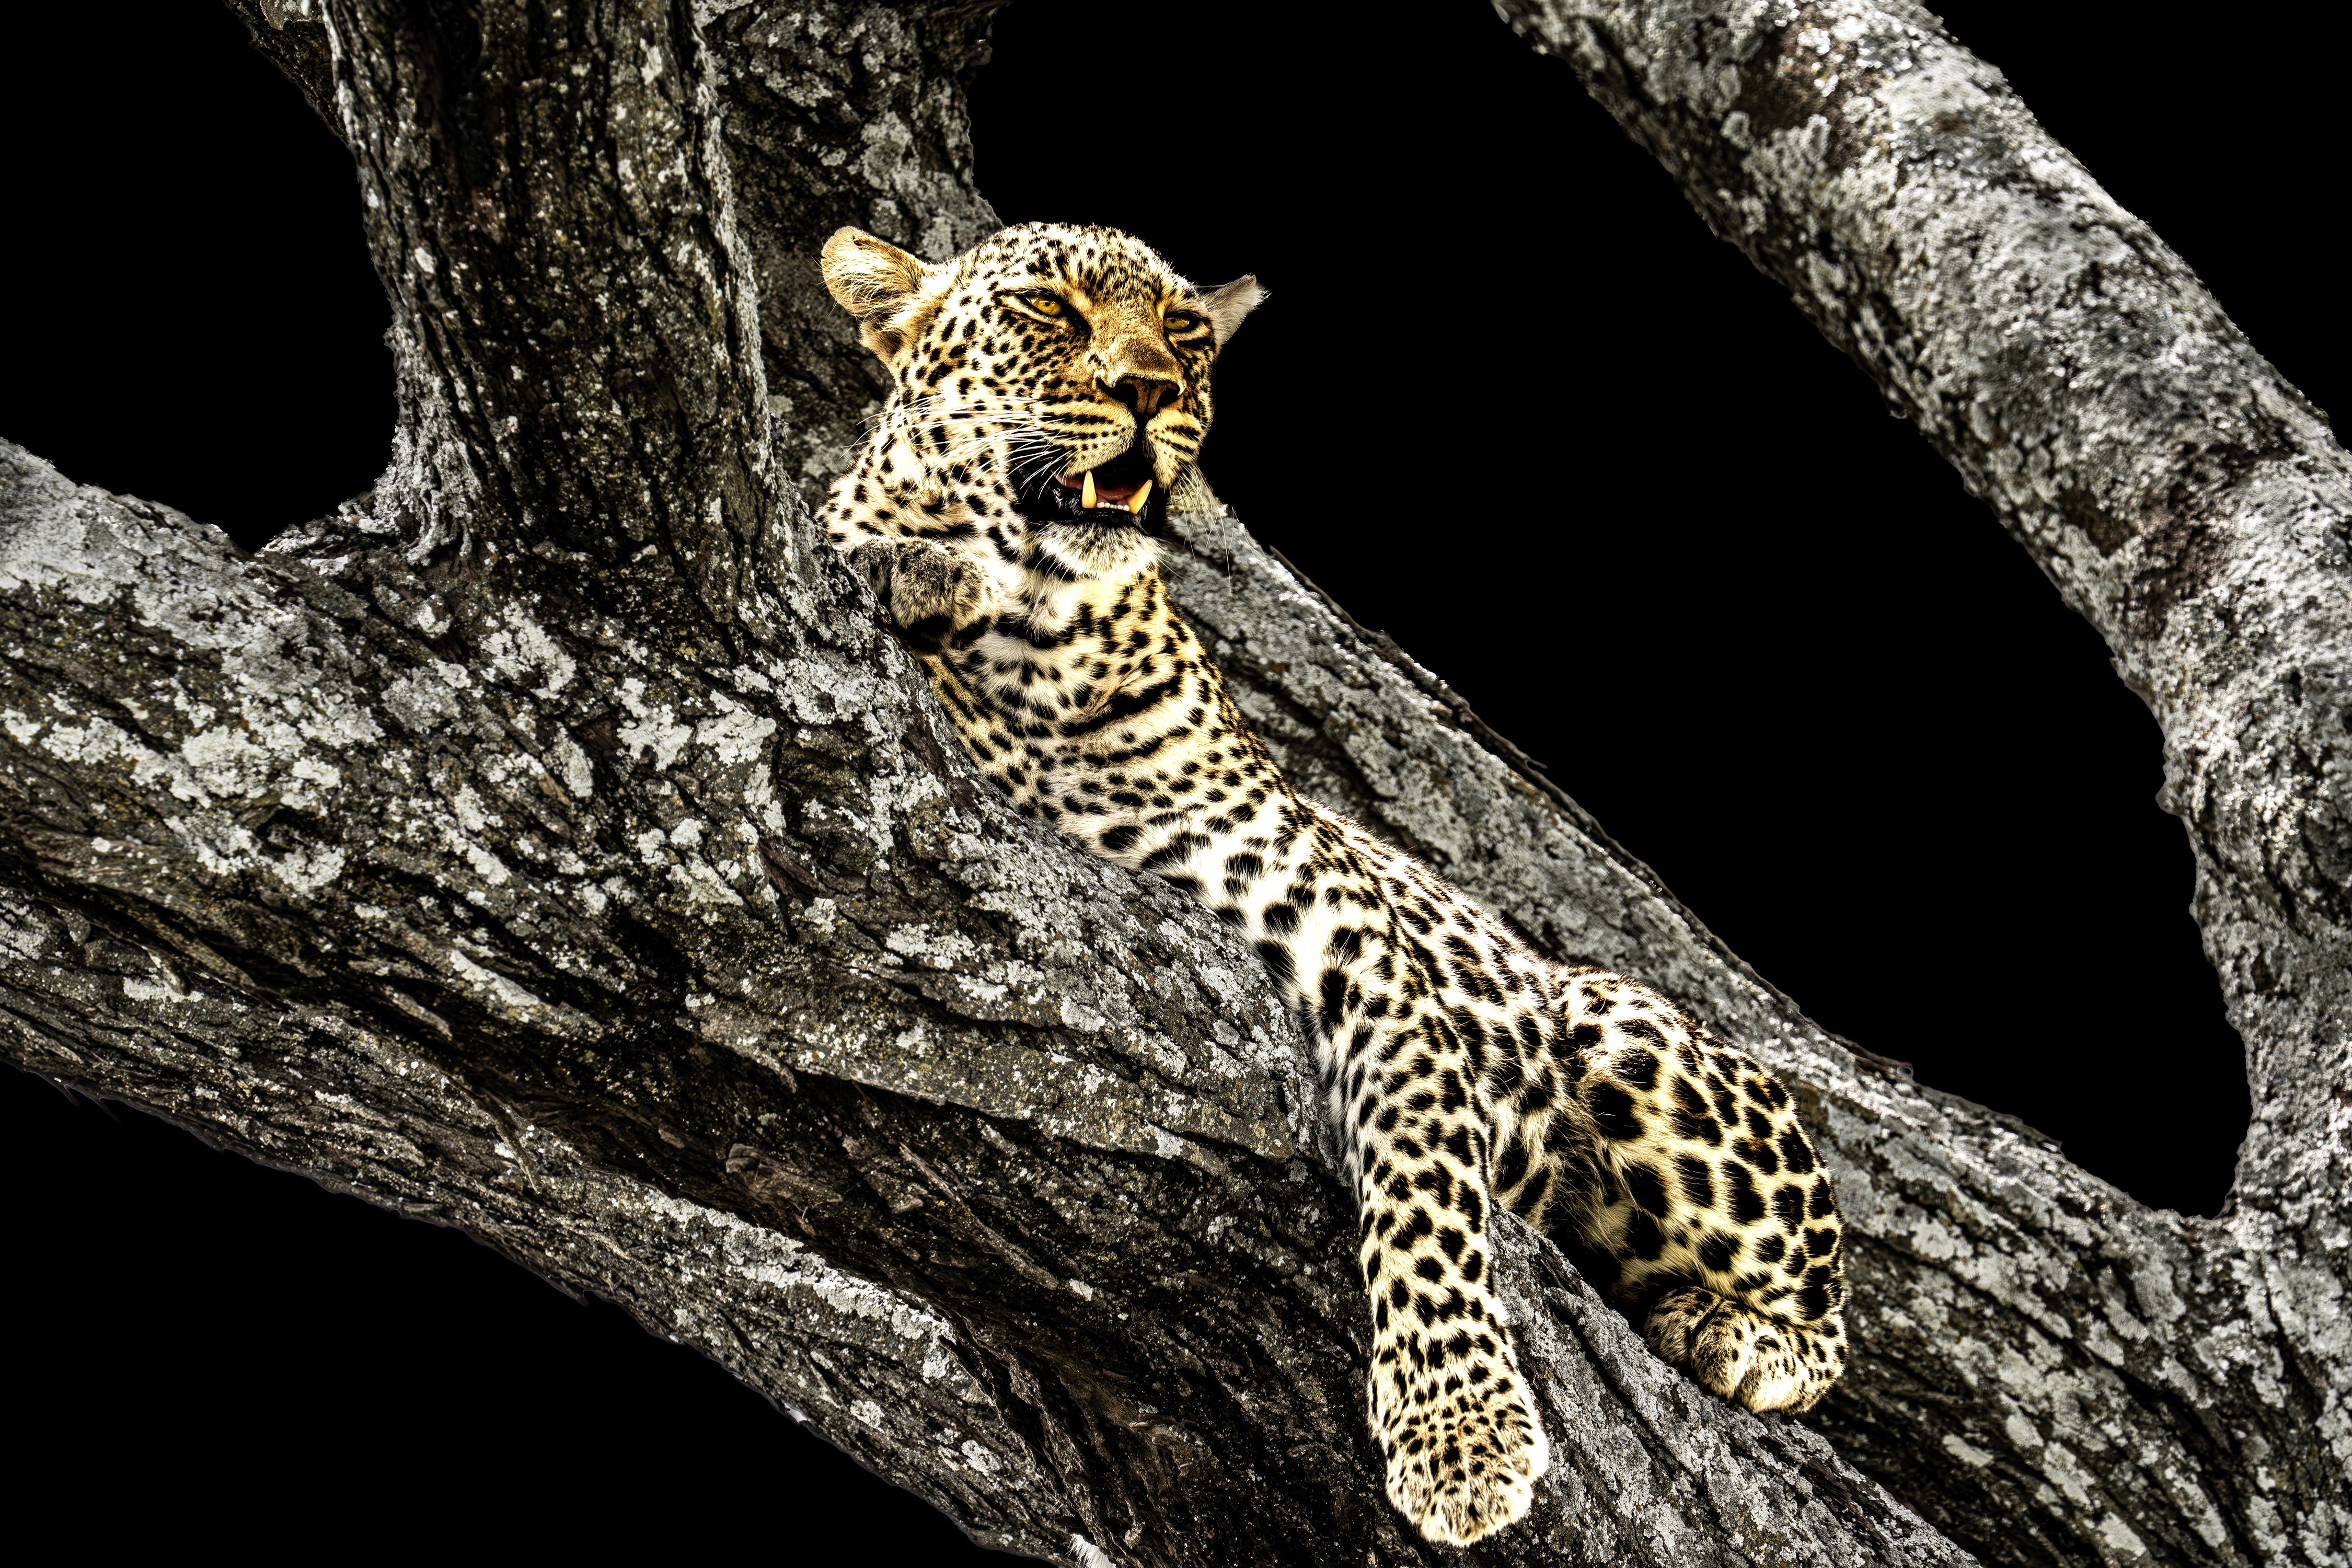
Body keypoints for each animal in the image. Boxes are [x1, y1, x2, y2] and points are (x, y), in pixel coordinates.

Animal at [816, 221, 1848, 1546]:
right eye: (1047, 306)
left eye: (1184, 332)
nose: (1149, 389)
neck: (1046, 638)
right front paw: (917, 556)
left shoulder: (1350, 929)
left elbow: (1424, 1183)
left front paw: (1460, 1438)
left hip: (1624, 1034)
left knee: (1828, 1315)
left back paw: (1740, 1334)